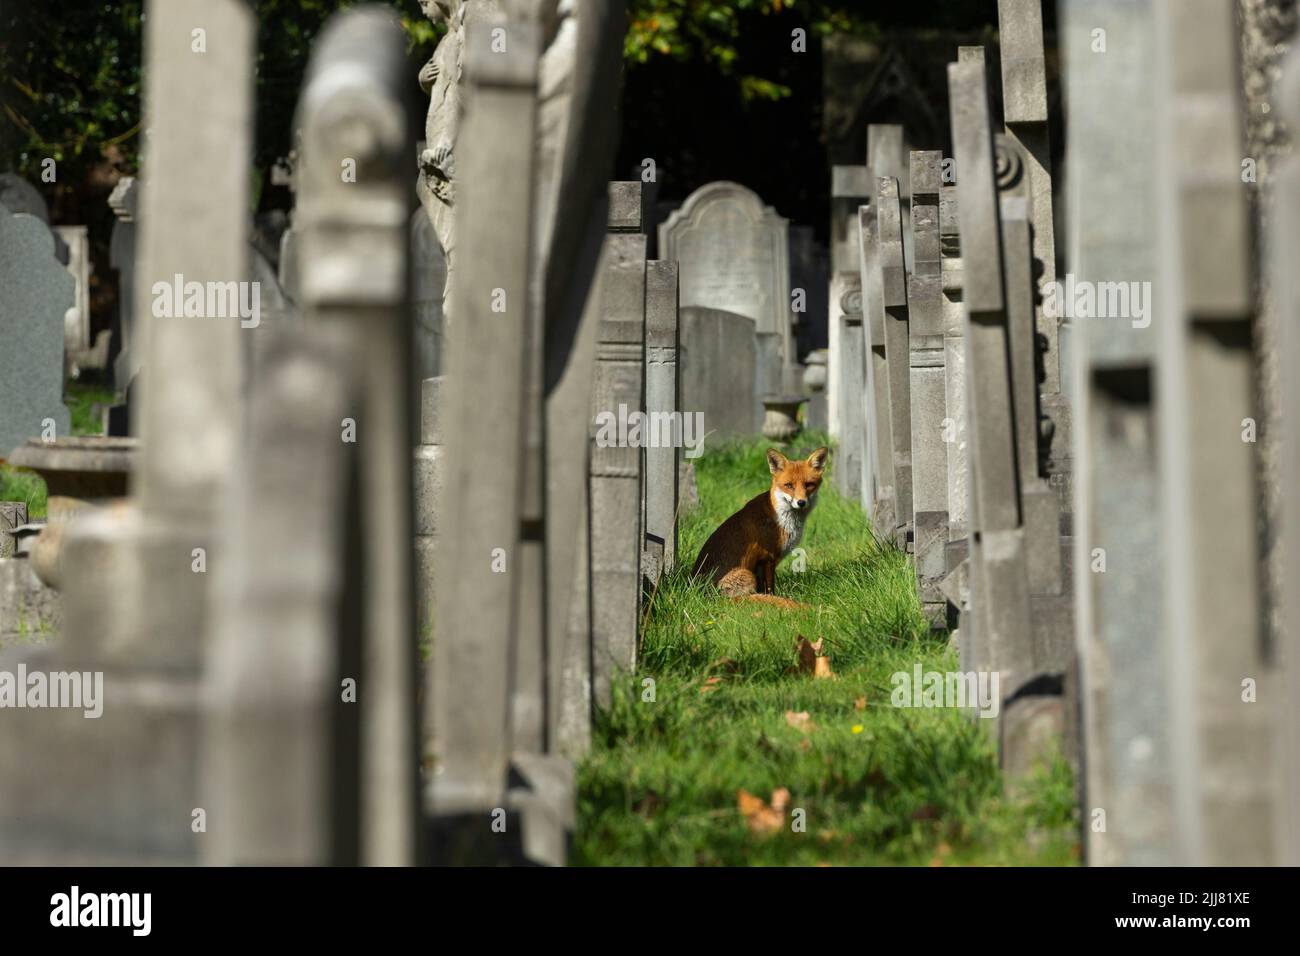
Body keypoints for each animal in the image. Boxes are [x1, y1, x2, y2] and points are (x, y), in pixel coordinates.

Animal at [691, 446, 829, 609]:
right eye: (789, 485)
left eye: (809, 484)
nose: (801, 502)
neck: (780, 517)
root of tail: (702, 593)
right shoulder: (768, 557)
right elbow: (770, 589)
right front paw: (774, 598)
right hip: (746, 574)